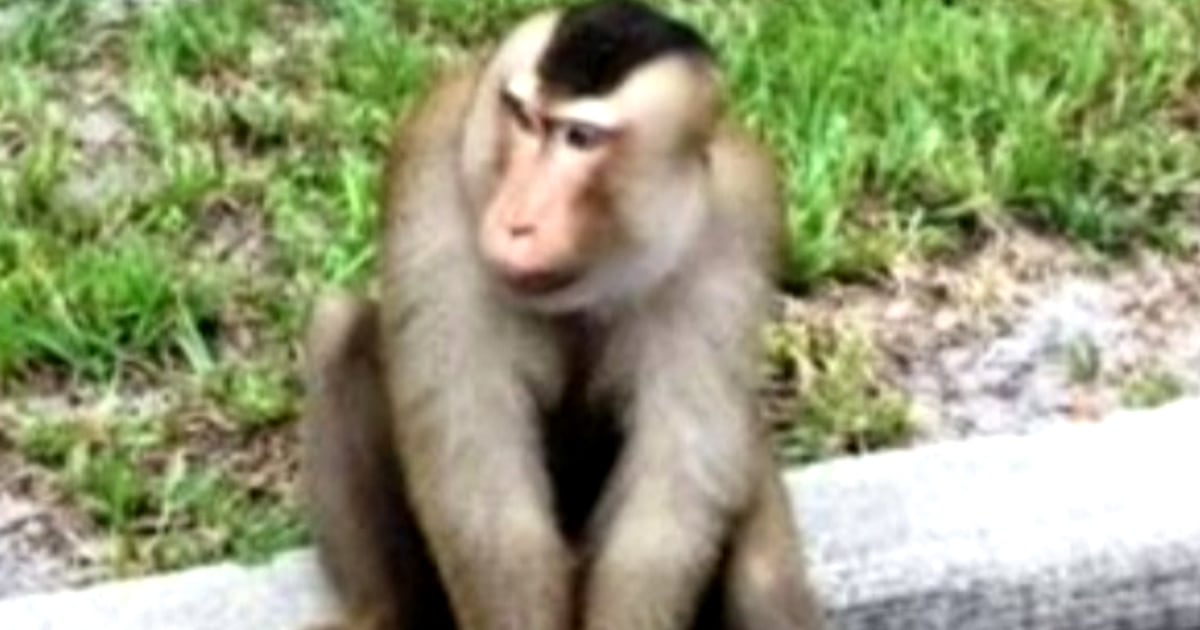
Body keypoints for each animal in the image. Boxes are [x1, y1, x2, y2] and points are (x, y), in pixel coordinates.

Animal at [300, 2, 827, 630]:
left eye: (580, 138)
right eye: (525, 121)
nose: (514, 223)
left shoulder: (738, 220)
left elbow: (671, 493)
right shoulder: (432, 182)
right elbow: (484, 487)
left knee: (762, 573)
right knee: (338, 330)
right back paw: (381, 610)